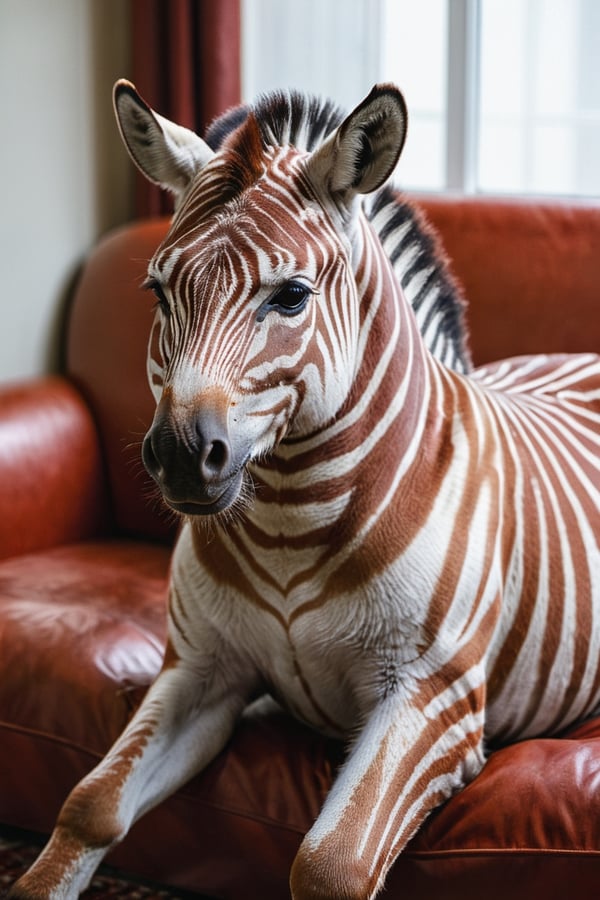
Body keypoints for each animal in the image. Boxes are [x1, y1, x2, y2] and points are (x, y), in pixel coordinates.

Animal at [11, 82, 600, 900]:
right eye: (158, 291)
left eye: (291, 297)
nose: (181, 459)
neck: (289, 522)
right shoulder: (198, 667)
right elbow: (91, 802)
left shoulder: (434, 699)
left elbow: (330, 865)